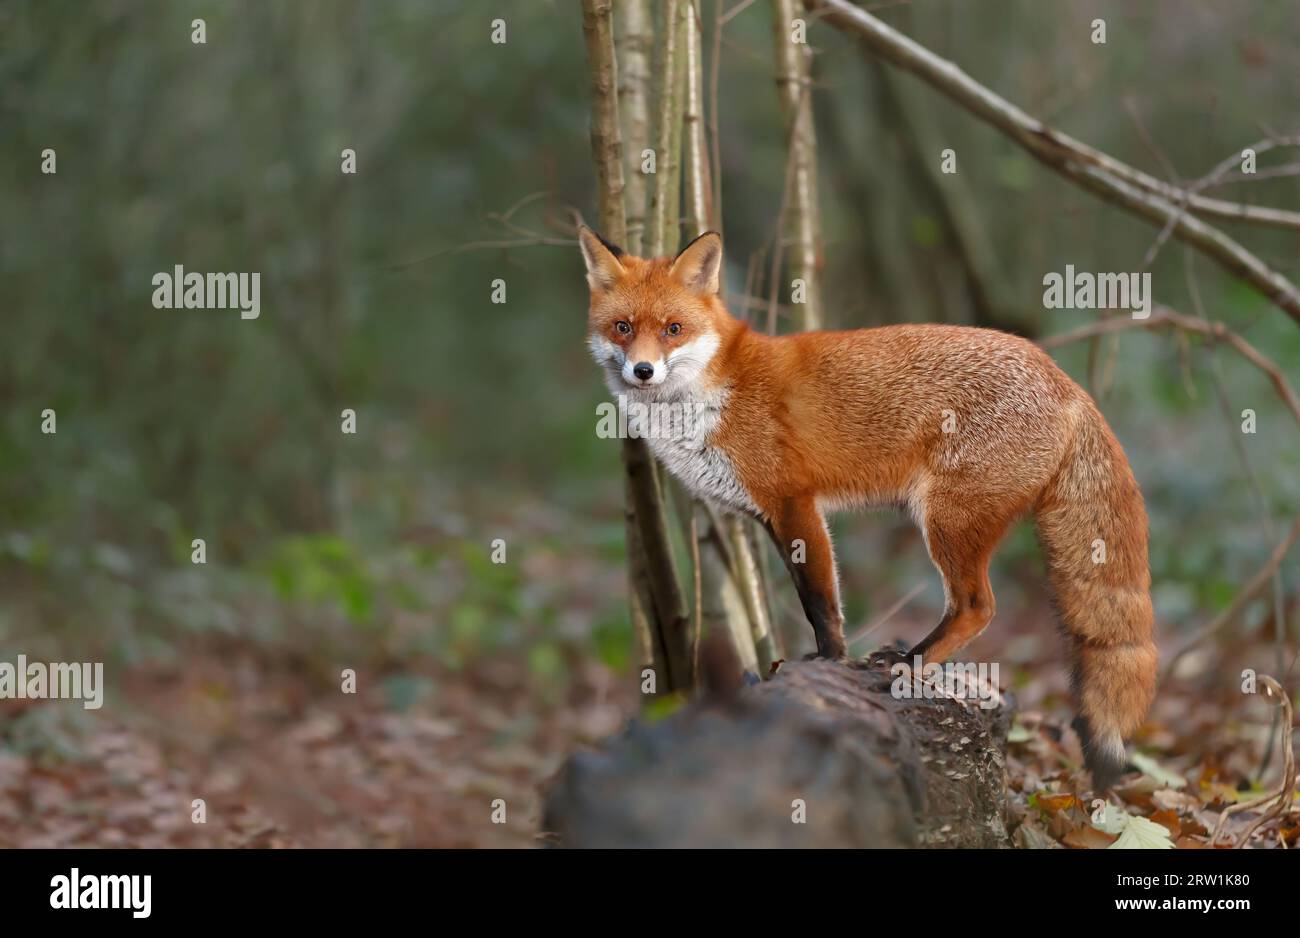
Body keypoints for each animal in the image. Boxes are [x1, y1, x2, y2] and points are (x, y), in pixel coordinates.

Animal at [578, 225, 1157, 790]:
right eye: (623, 328)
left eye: (673, 328)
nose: (643, 371)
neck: (711, 393)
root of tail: (1063, 377)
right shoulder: (770, 514)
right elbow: (813, 597)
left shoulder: (794, 502)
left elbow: (820, 603)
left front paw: (828, 668)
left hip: (945, 521)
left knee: (978, 606)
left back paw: (909, 663)